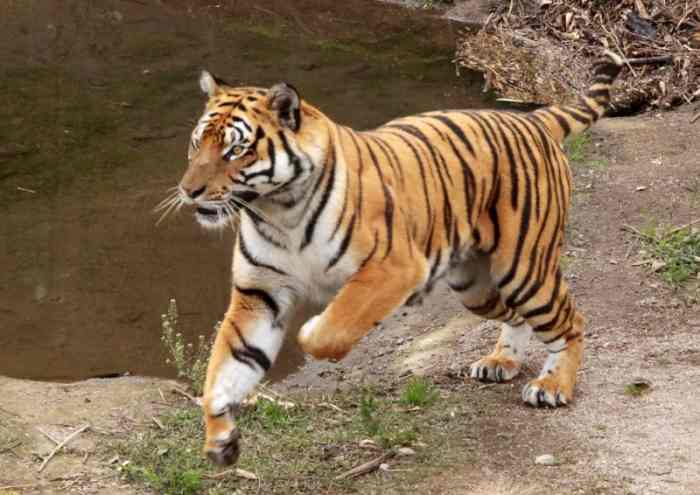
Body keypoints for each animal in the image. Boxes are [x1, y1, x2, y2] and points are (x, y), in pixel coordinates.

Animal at [170, 51, 623, 465]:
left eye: (235, 151)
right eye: (197, 144)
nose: (189, 190)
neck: (279, 209)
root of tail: (532, 119)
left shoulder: (393, 268)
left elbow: (330, 330)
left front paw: (313, 327)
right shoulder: (259, 293)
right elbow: (226, 367)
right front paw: (220, 438)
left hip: (524, 268)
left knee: (571, 321)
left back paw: (553, 386)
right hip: (475, 286)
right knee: (515, 316)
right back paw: (501, 361)